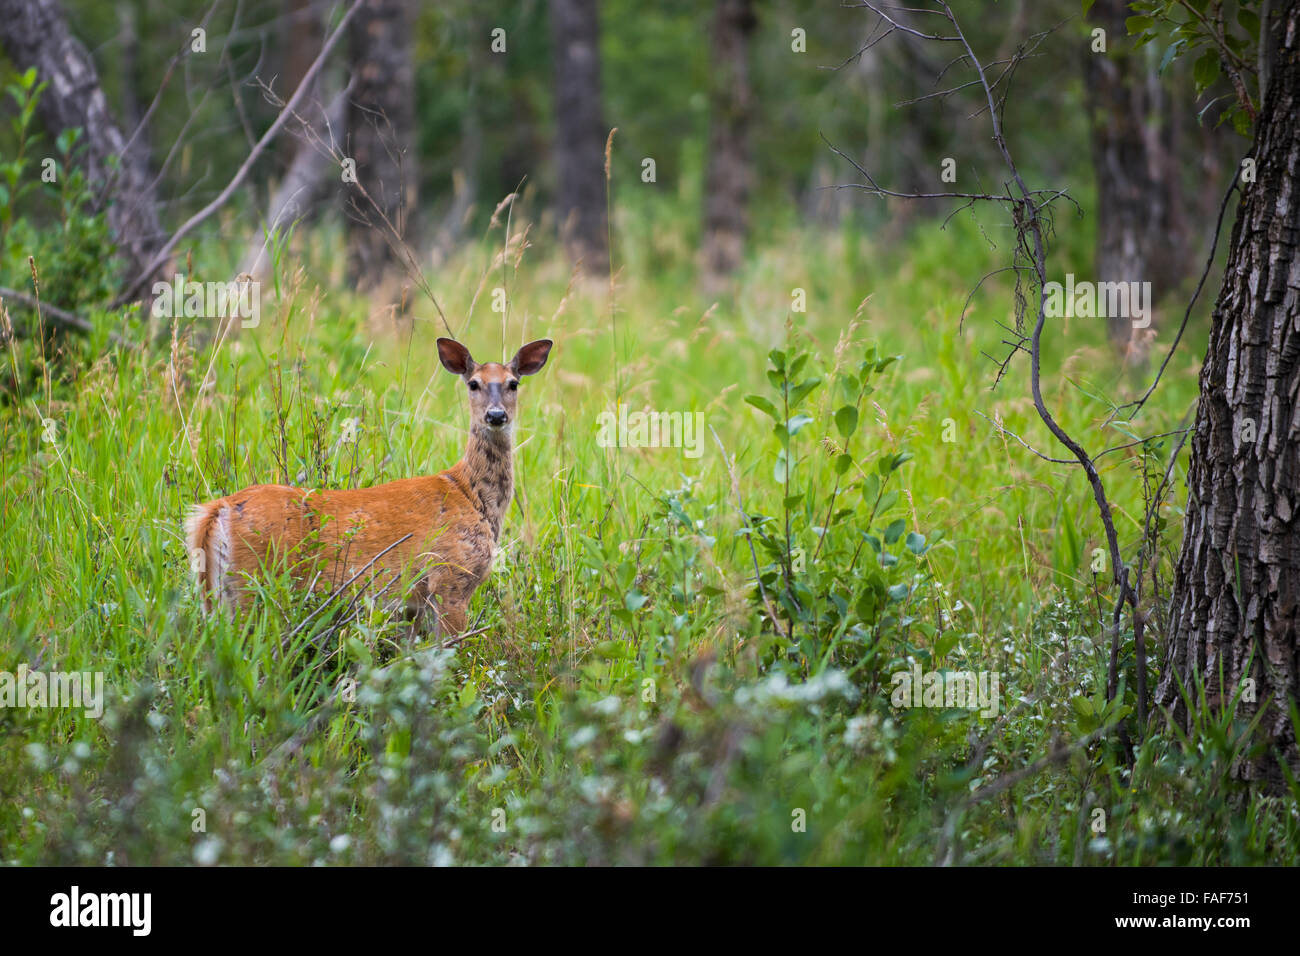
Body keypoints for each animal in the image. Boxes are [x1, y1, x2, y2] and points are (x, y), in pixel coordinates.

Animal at [184, 337, 553, 637]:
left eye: (514, 383)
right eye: (474, 383)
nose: (496, 415)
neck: (473, 496)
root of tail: (216, 510)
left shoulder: (412, 603)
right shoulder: (450, 577)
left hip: (217, 593)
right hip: (255, 583)